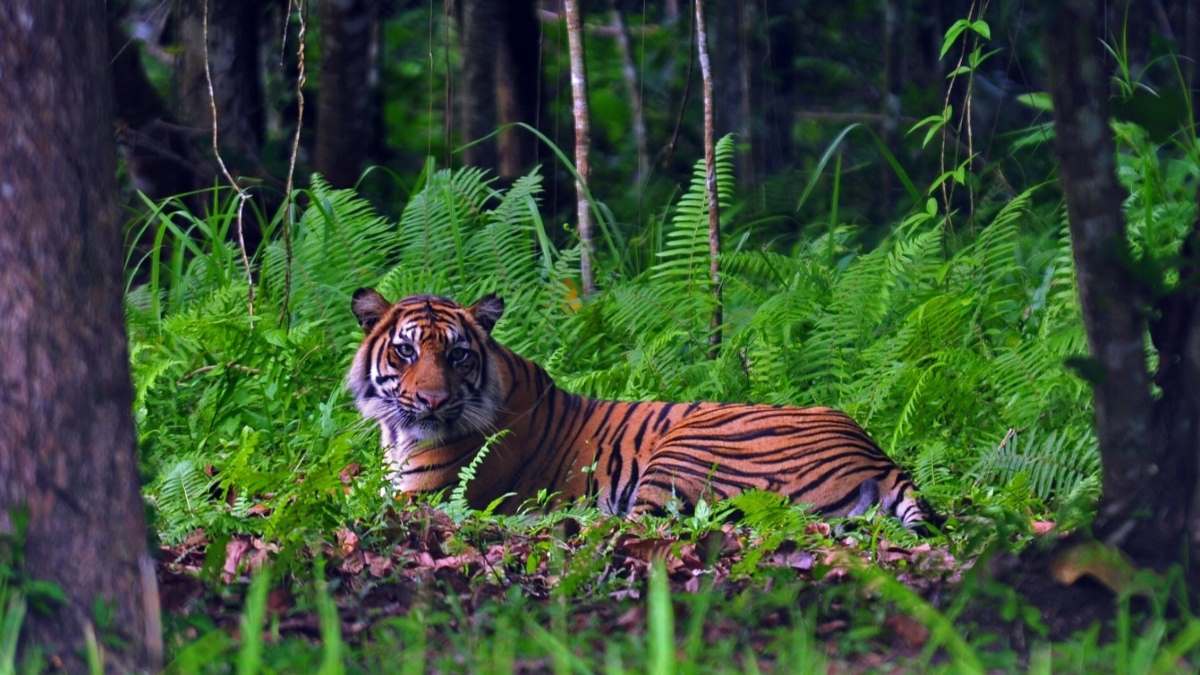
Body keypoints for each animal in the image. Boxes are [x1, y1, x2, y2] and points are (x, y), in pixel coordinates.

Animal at [347, 290, 930, 529]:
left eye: (458, 355)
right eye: (406, 352)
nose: (432, 401)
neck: (396, 434)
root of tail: (876, 453)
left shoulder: (422, 495)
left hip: (685, 450)